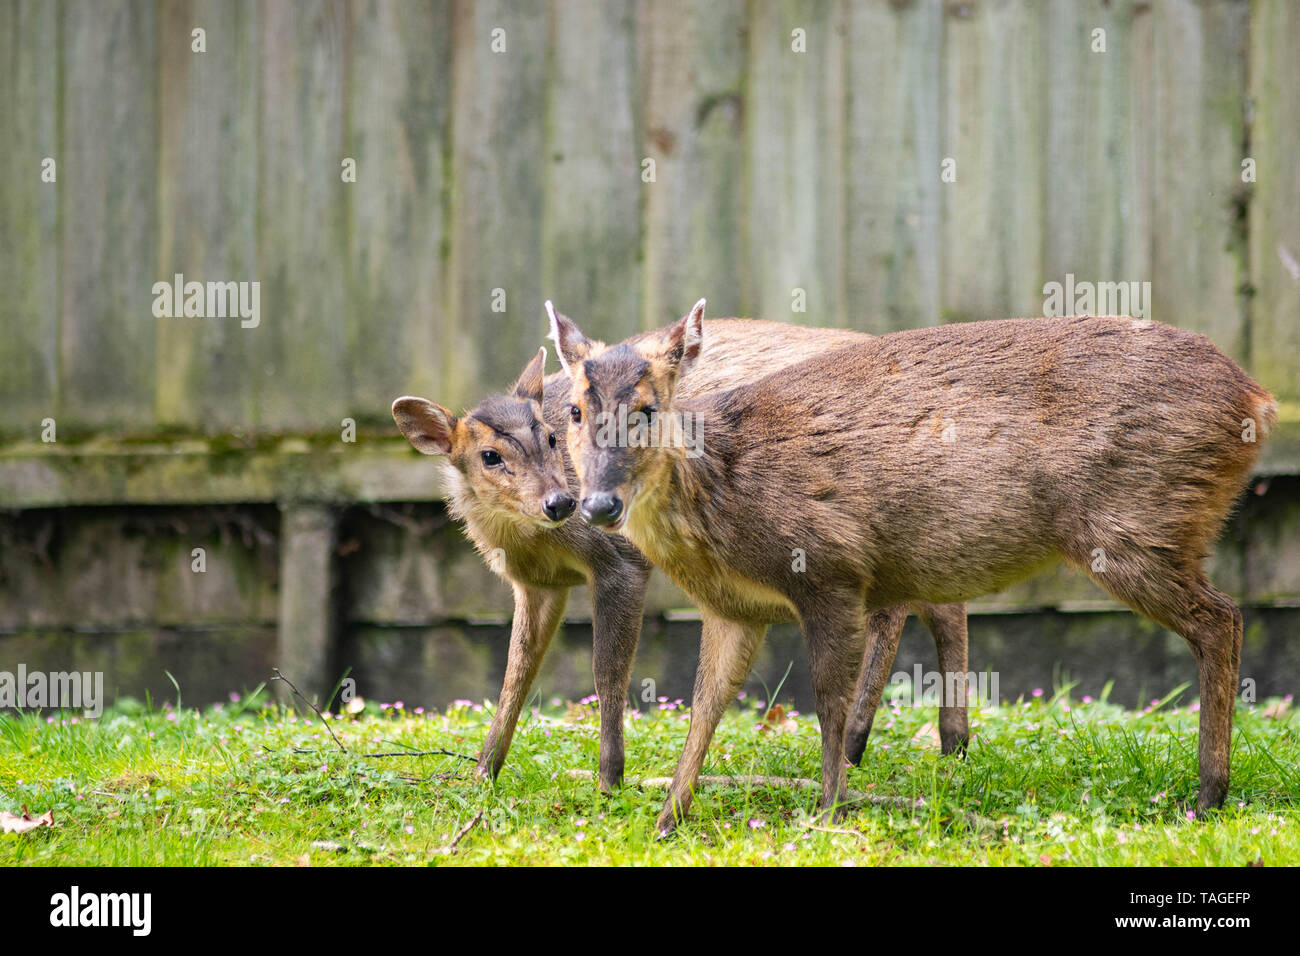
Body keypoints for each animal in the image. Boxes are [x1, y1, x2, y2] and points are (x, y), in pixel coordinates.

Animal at [392, 308, 972, 794]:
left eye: (550, 439)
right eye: (489, 455)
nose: (562, 502)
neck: (532, 544)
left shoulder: (621, 562)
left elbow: (606, 673)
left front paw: (609, 781)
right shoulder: (536, 584)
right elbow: (516, 672)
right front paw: (482, 772)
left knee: (915, 608)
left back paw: (902, 742)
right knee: (927, 603)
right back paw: (916, 745)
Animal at [556, 300, 1276, 836]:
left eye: (648, 408)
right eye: (575, 409)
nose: (597, 504)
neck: (724, 486)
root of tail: (1259, 401)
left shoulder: (830, 566)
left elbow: (826, 697)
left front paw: (828, 812)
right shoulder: (734, 608)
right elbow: (707, 704)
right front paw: (666, 819)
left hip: (1134, 522)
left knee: (1224, 619)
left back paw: (1208, 794)